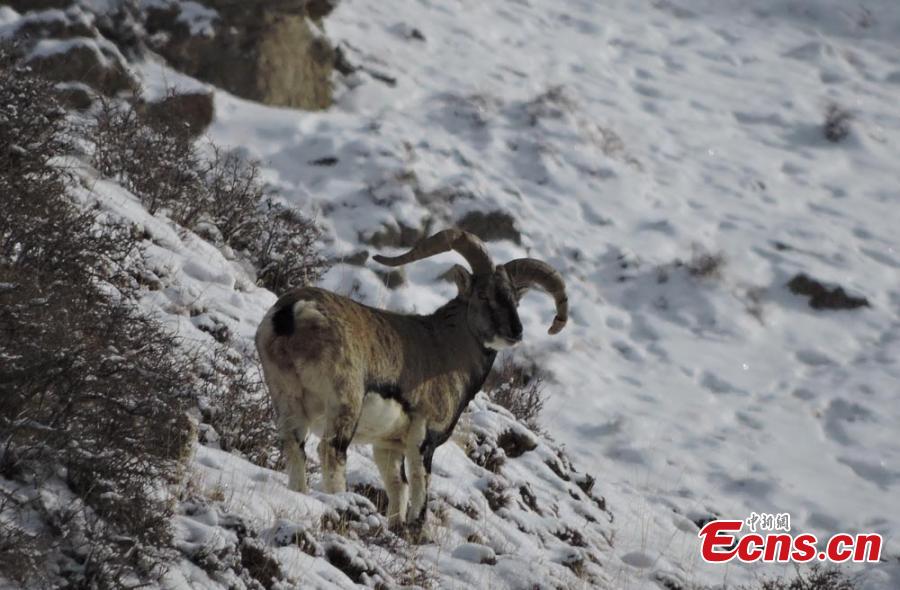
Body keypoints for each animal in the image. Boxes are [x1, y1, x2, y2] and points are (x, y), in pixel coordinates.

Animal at [255, 228, 568, 527]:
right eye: (483, 294)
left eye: (514, 300)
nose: (515, 331)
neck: (447, 347)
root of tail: (294, 312)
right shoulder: (423, 436)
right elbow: (419, 484)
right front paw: (416, 528)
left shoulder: (387, 446)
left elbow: (398, 486)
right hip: (344, 405)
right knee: (331, 452)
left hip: (287, 398)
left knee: (294, 446)